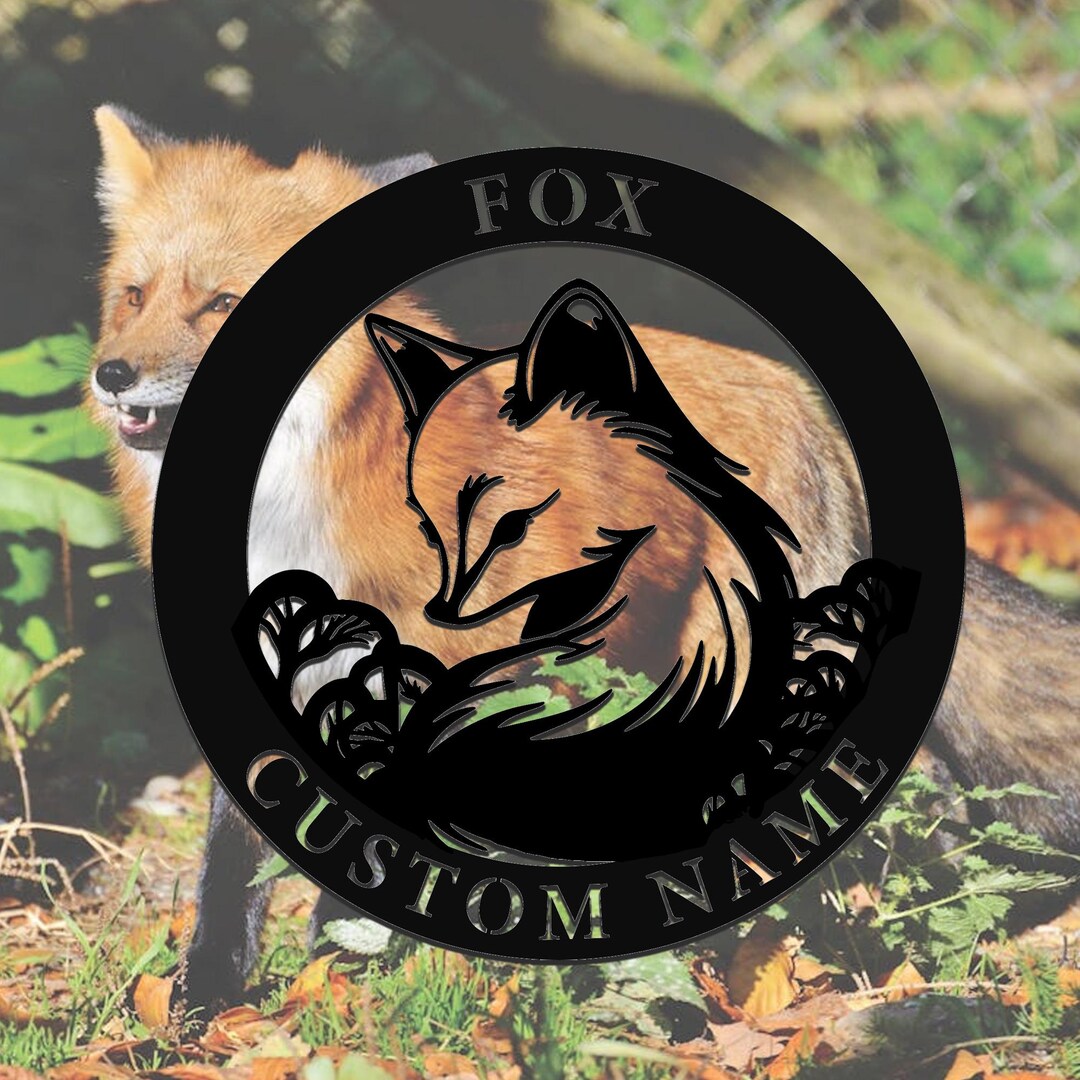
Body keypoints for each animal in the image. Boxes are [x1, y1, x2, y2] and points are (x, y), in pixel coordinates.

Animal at [88, 105, 1080, 1008]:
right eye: (134, 296)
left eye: (223, 305)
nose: (112, 375)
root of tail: (801, 393)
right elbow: (235, 859)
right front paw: (215, 994)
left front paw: (373, 969)